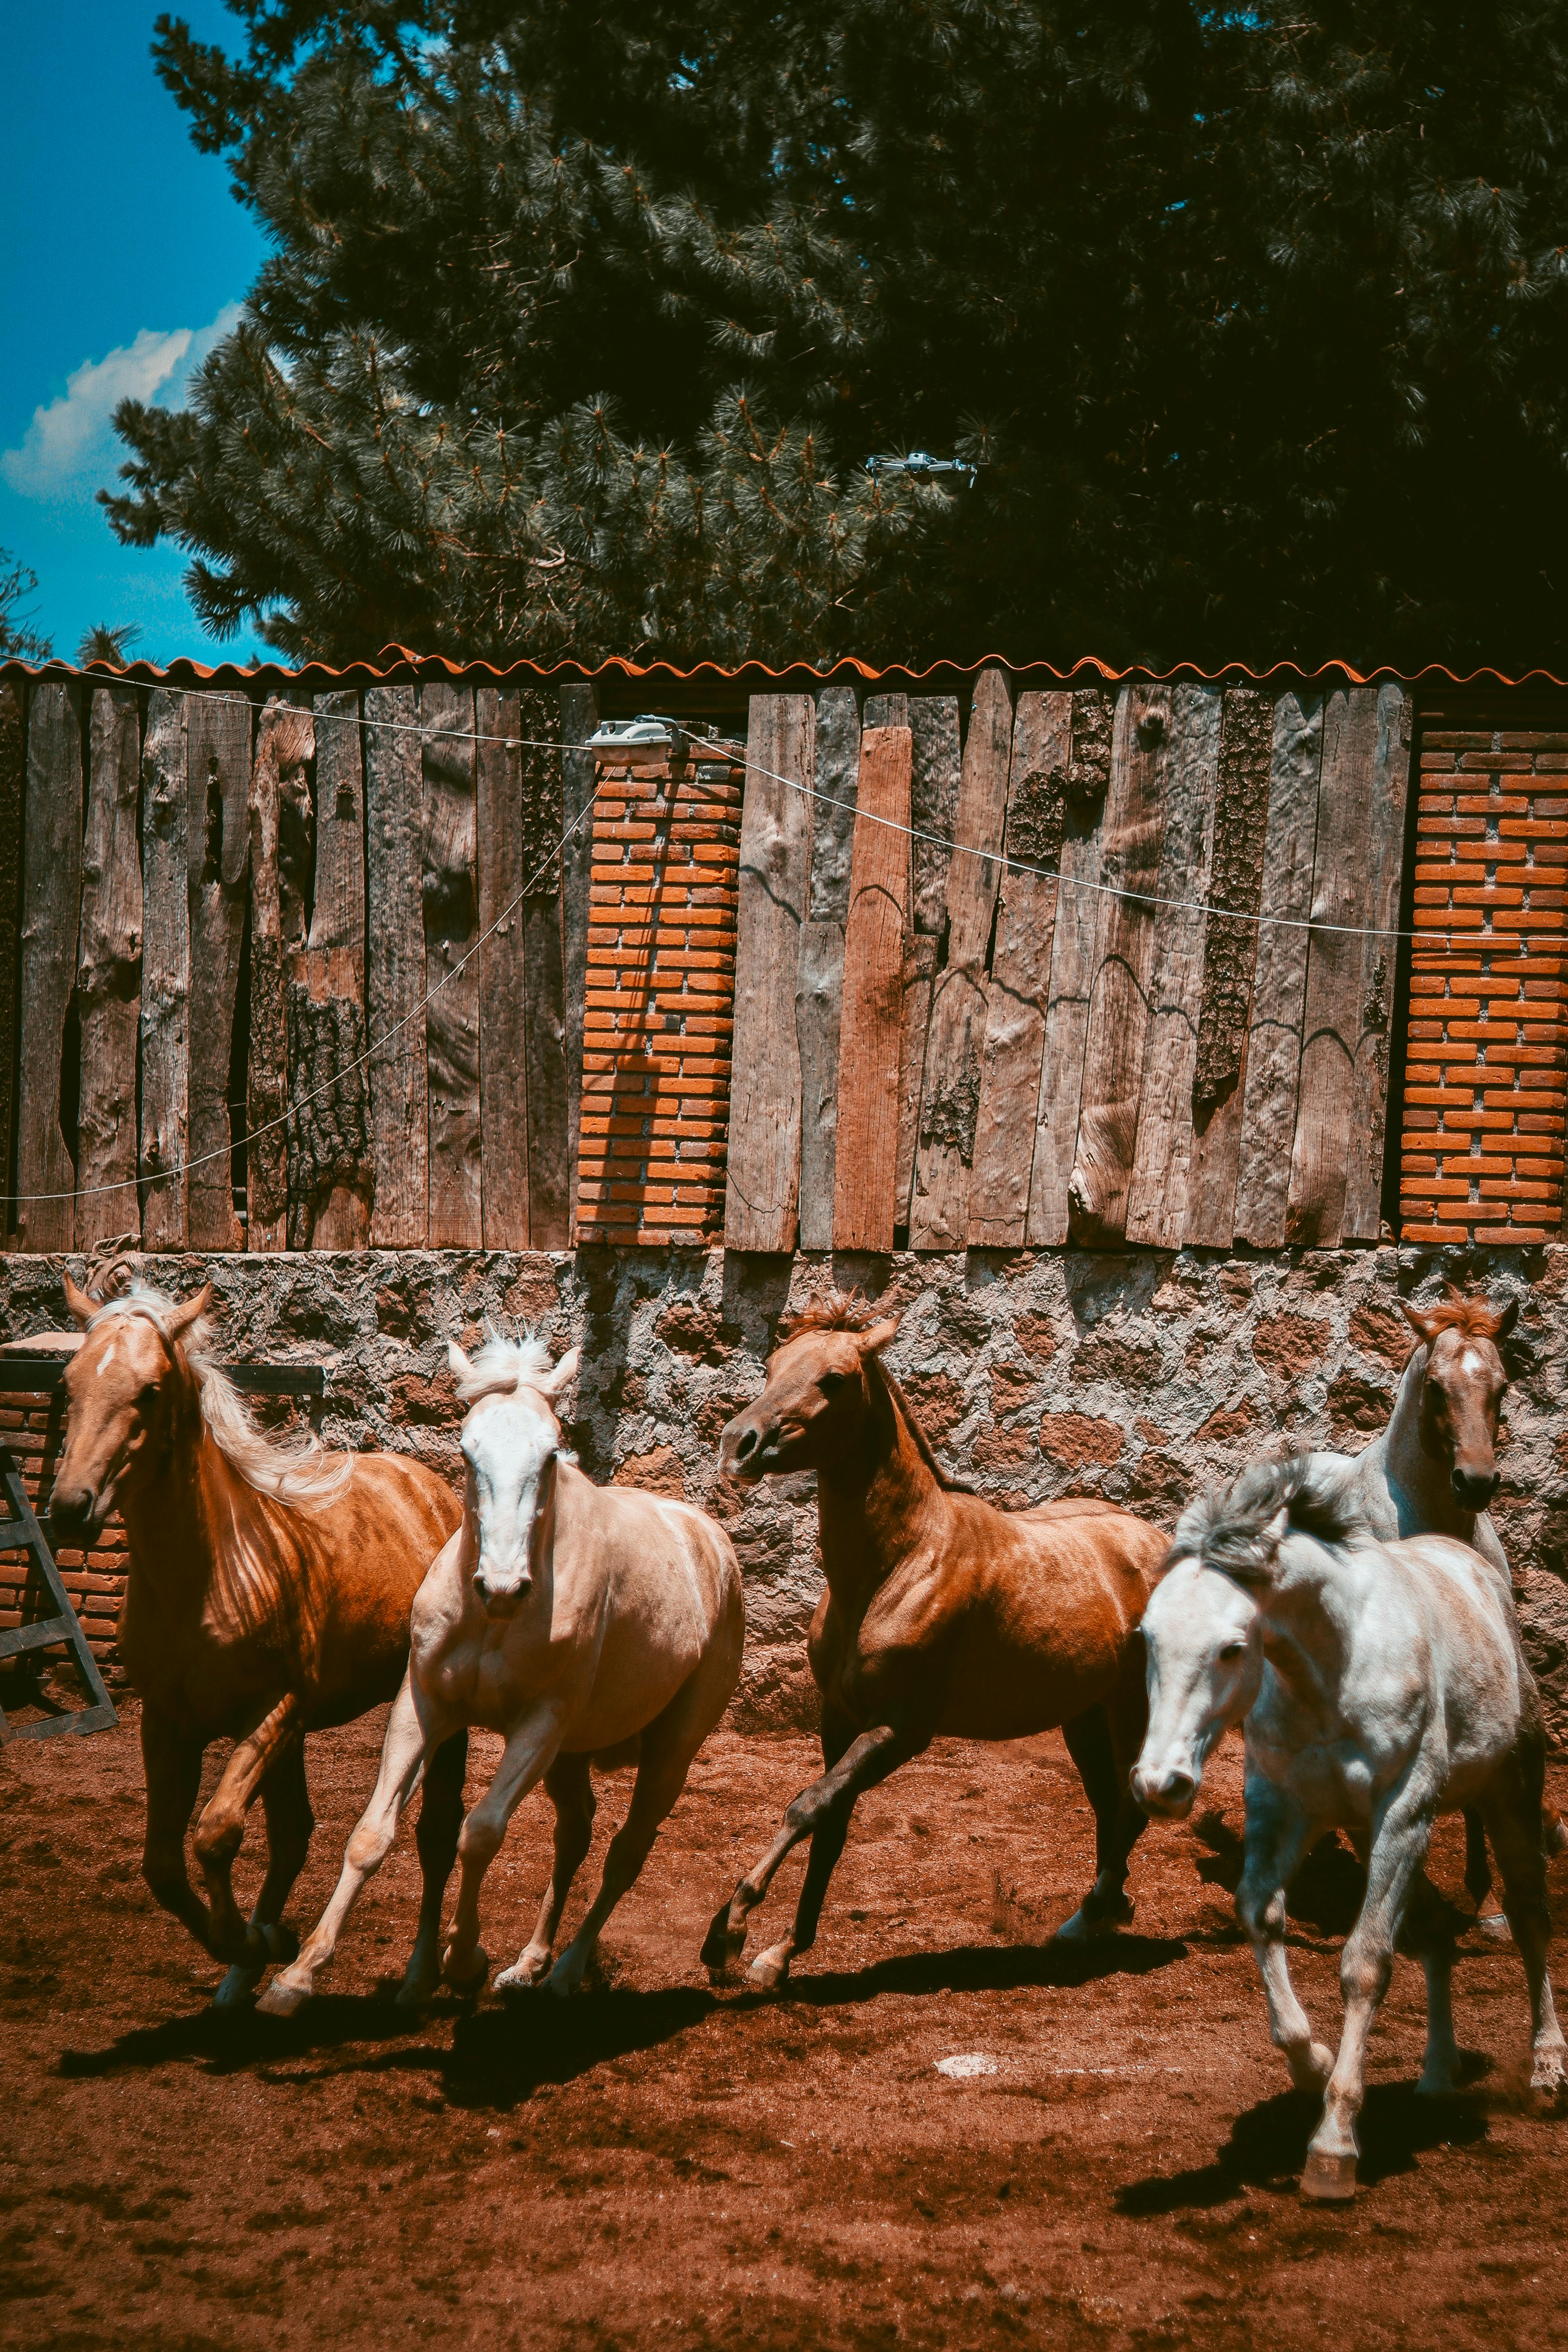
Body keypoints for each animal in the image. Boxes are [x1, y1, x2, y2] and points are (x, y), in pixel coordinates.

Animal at [48, 1275, 467, 2006]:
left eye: (149, 1390)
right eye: (68, 1384)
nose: (72, 1507)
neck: (209, 1574)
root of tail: (432, 1488)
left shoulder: (275, 1711)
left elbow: (216, 1833)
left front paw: (248, 1941)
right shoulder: (167, 1722)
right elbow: (163, 1863)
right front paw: (254, 1945)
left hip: (430, 1713)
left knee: (436, 1833)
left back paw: (416, 1975)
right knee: (294, 1833)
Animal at [258, 1334, 744, 2014]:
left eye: (551, 1453)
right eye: (467, 1449)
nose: (503, 1585)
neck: (491, 1620)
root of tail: (711, 1541)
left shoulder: (539, 1725)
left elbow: (481, 1832)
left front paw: (463, 1961)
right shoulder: (422, 1705)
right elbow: (370, 1835)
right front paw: (297, 1974)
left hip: (671, 1747)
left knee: (625, 1852)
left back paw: (565, 1971)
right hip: (572, 1755)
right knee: (575, 1834)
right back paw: (529, 1965)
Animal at [702, 1292, 1166, 1988]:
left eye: (834, 1379)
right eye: (773, 1365)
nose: (739, 1444)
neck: (899, 1566)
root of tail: (1163, 1541)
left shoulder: (900, 1729)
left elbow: (806, 1806)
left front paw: (729, 1933)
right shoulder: (838, 1719)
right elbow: (831, 1825)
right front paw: (781, 1952)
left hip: (1131, 1705)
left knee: (1132, 1805)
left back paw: (1090, 1916)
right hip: (1083, 1715)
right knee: (1109, 1805)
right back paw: (1093, 1918)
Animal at [1132, 1456, 1564, 2201]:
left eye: (1231, 1647)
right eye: (1147, 1637)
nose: (1160, 1783)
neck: (1332, 1671)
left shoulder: (1403, 1808)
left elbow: (1365, 1962)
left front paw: (1332, 2146)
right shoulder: (1284, 1806)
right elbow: (1258, 1912)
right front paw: (1311, 2062)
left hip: (1506, 1794)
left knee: (1529, 1916)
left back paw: (1545, 2069)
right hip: (1378, 1835)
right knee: (1430, 1927)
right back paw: (1436, 2074)